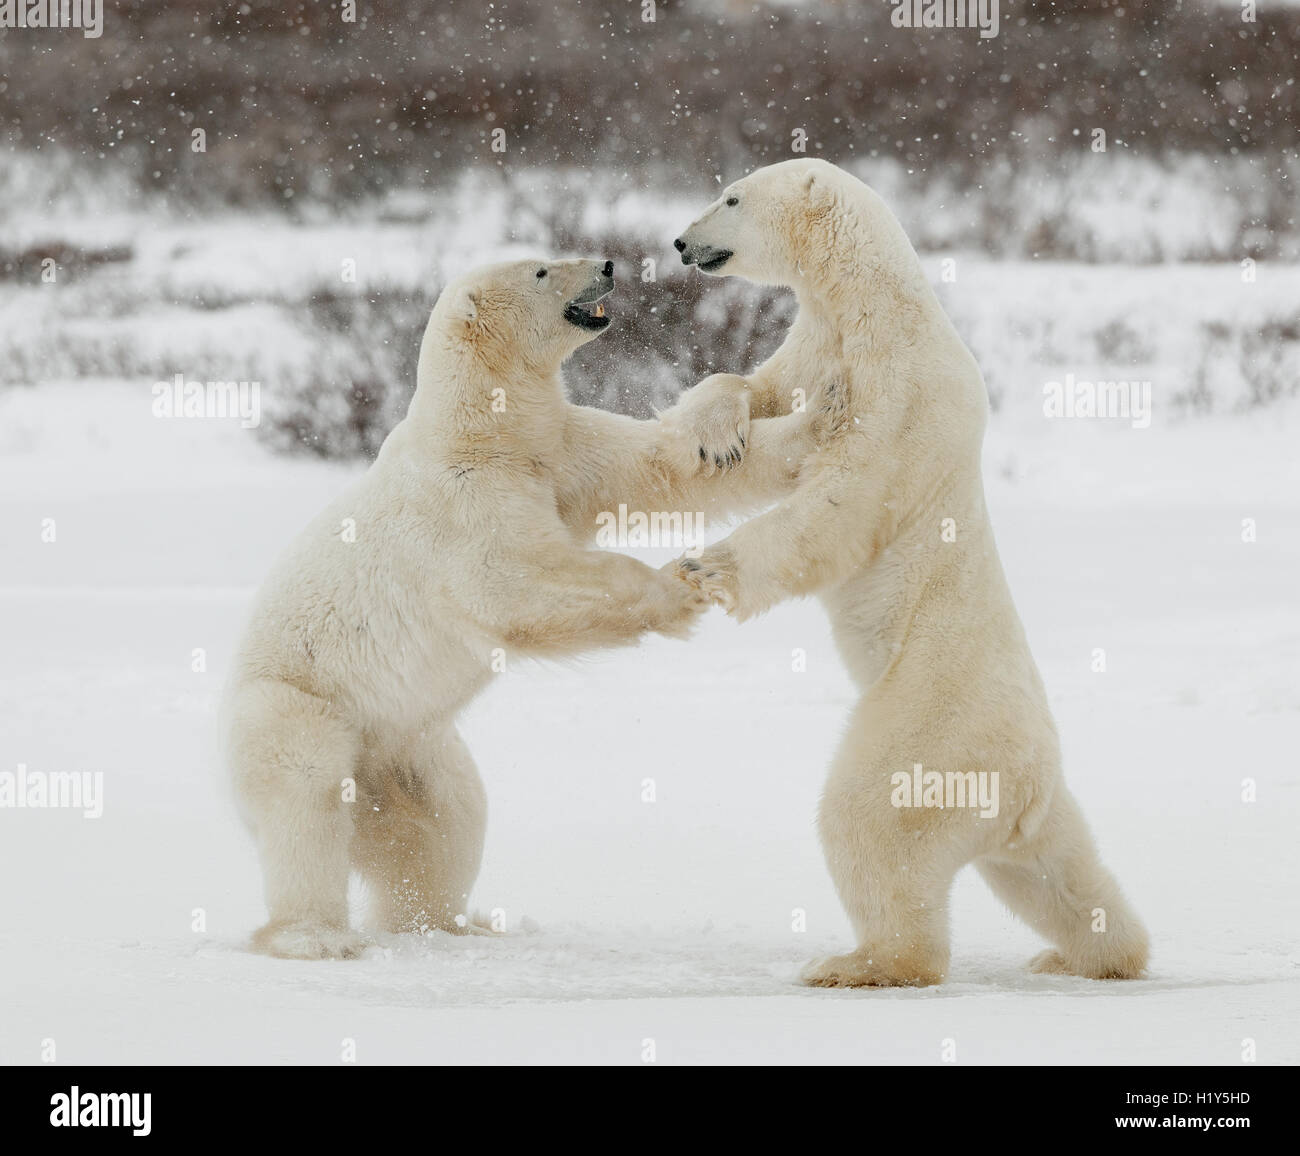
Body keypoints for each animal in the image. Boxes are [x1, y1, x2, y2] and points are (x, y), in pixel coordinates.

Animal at [222, 256, 813, 960]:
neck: (483, 432)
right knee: (306, 805)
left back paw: (450, 922)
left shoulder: (561, 452)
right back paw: (316, 937)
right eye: (541, 269)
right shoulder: (463, 502)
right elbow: (513, 586)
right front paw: (679, 588)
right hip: (299, 706)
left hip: (412, 745)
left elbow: (659, 467)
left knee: (447, 819)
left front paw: (814, 425)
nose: (607, 263)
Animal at [671, 159, 1150, 986]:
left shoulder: (901, 394)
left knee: (869, 817)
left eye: (731, 197)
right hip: (1027, 803)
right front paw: (717, 432)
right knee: (1054, 873)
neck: (872, 308)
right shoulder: (816, 345)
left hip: (930, 727)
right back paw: (1089, 953)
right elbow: (759, 392)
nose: (679, 241)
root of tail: (1024, 781)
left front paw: (709, 565)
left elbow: (842, 502)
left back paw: (859, 962)